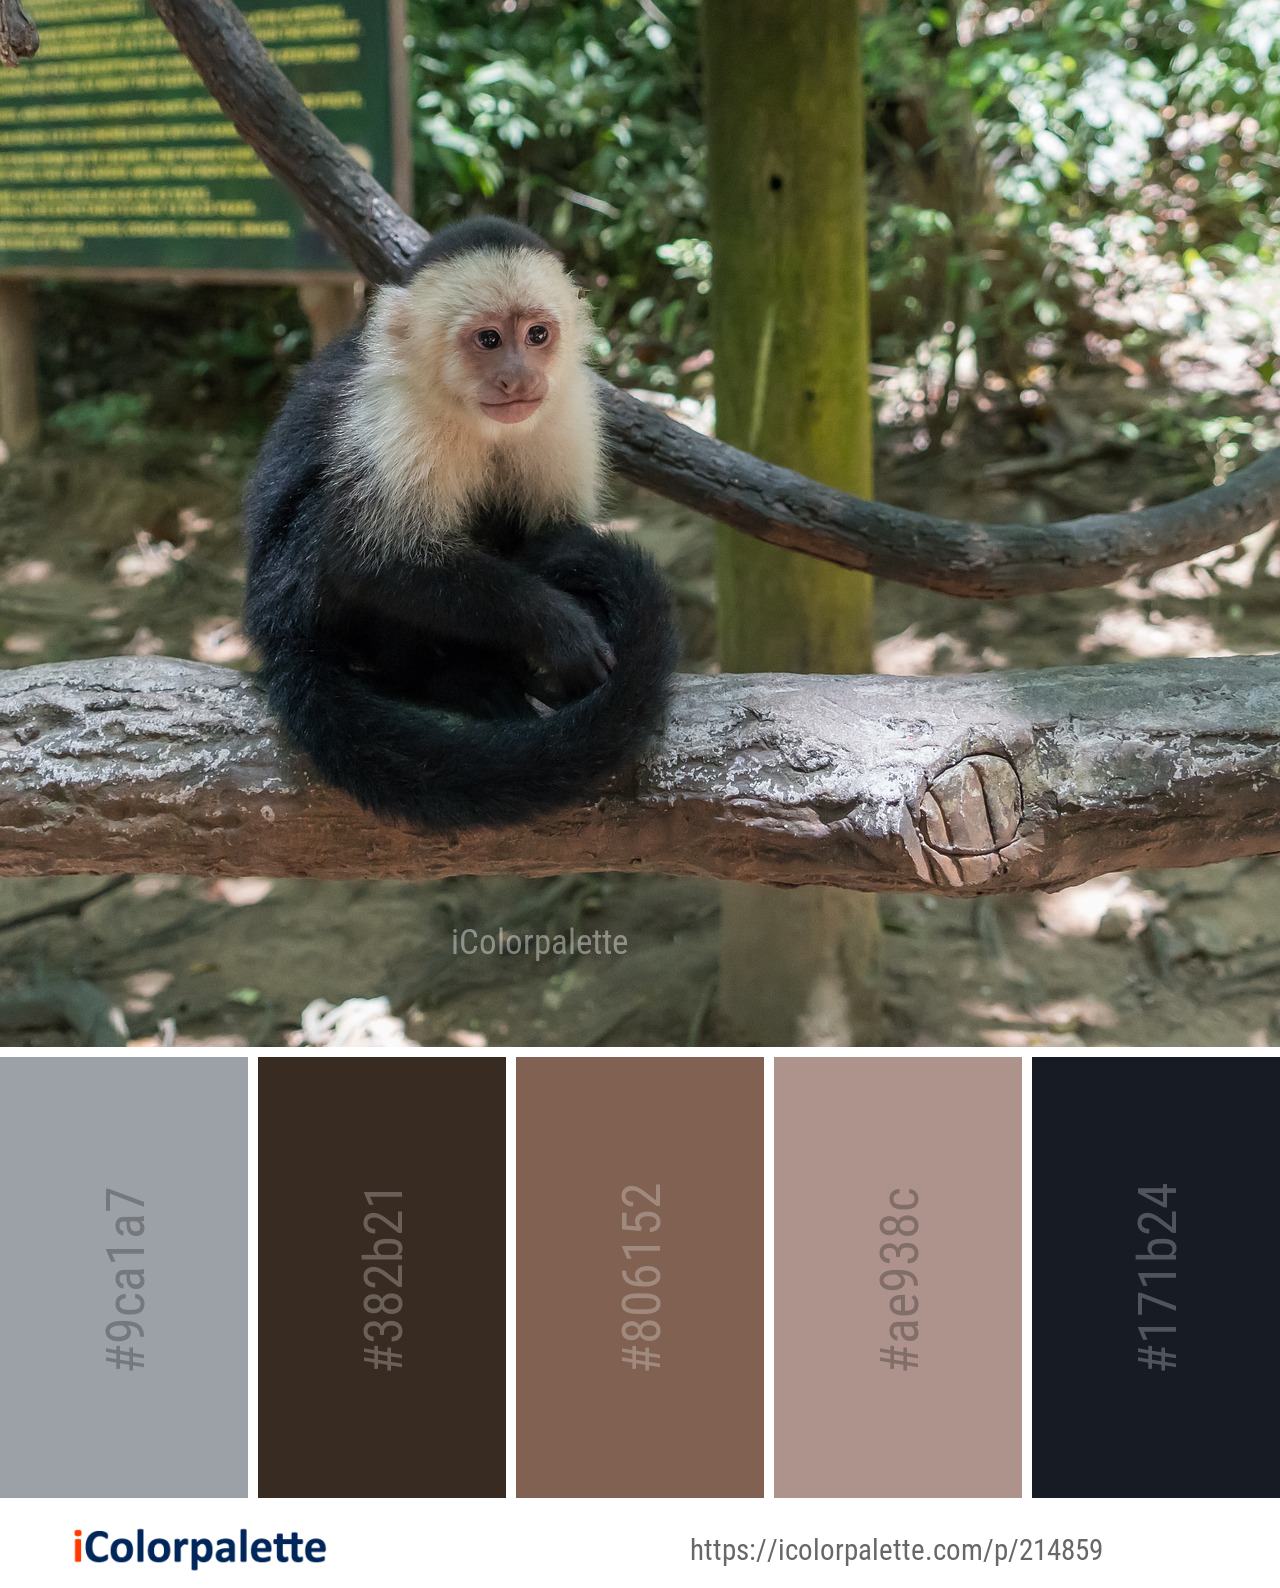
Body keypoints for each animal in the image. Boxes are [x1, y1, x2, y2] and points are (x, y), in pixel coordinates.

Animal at [241, 216, 678, 830]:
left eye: (537, 335)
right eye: (489, 340)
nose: (519, 378)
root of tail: (275, 638)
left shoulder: (567, 406)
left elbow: (554, 534)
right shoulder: (397, 414)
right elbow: (371, 559)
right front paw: (558, 628)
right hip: (294, 606)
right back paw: (441, 680)